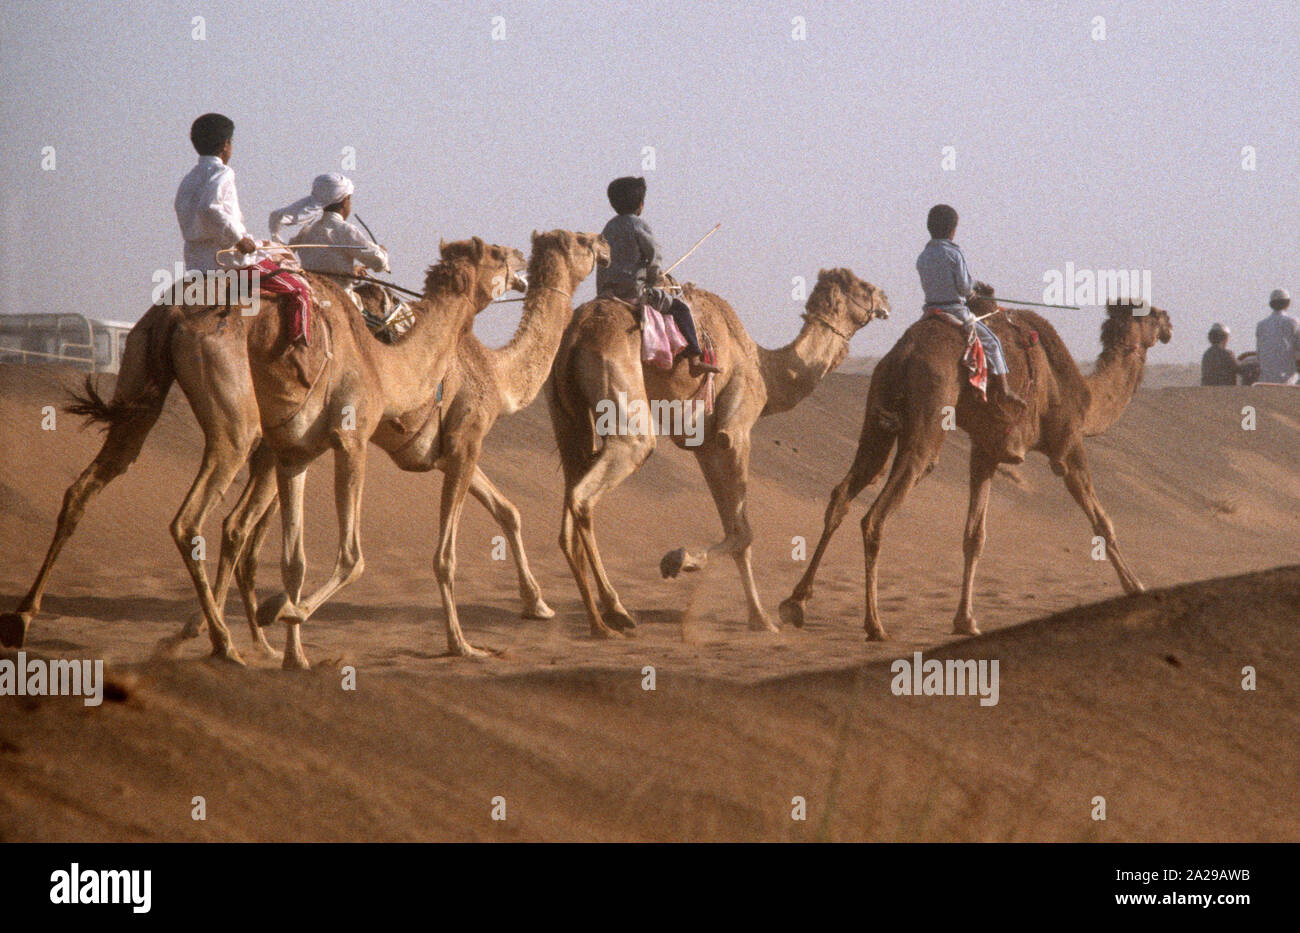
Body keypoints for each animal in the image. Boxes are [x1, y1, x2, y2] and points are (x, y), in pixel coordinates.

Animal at [0, 241, 552, 660]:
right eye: (498, 255)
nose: (523, 265)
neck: (385, 362)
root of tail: (173, 314)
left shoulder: (298, 453)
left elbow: (294, 560)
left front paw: (292, 646)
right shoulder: (356, 439)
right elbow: (355, 556)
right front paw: (283, 620)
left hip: (140, 383)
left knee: (89, 486)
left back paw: (25, 618)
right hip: (236, 424)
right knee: (193, 521)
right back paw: (225, 643)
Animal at [250, 229, 608, 667]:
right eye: (583, 241)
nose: (606, 245)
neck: (497, 374)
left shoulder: (446, 453)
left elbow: (508, 510)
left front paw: (537, 604)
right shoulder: (467, 441)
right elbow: (445, 556)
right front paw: (460, 644)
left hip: (288, 448)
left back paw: (281, 647)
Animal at [547, 268, 890, 638]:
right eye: (864, 288)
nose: (885, 298)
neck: (764, 369)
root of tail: (577, 333)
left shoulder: (706, 444)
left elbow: (737, 531)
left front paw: (760, 618)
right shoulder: (733, 433)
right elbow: (744, 532)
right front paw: (677, 560)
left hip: (568, 419)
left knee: (569, 509)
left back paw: (597, 624)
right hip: (621, 391)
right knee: (596, 484)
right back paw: (616, 610)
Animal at [779, 295, 1174, 639]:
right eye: (1152, 313)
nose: (1169, 323)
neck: (1084, 396)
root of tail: (903, 354)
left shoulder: (985, 452)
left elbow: (974, 535)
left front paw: (966, 621)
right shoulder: (1067, 444)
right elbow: (1102, 522)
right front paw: (1135, 586)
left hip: (878, 412)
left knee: (844, 492)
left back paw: (796, 602)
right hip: (930, 413)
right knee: (877, 514)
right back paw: (875, 625)